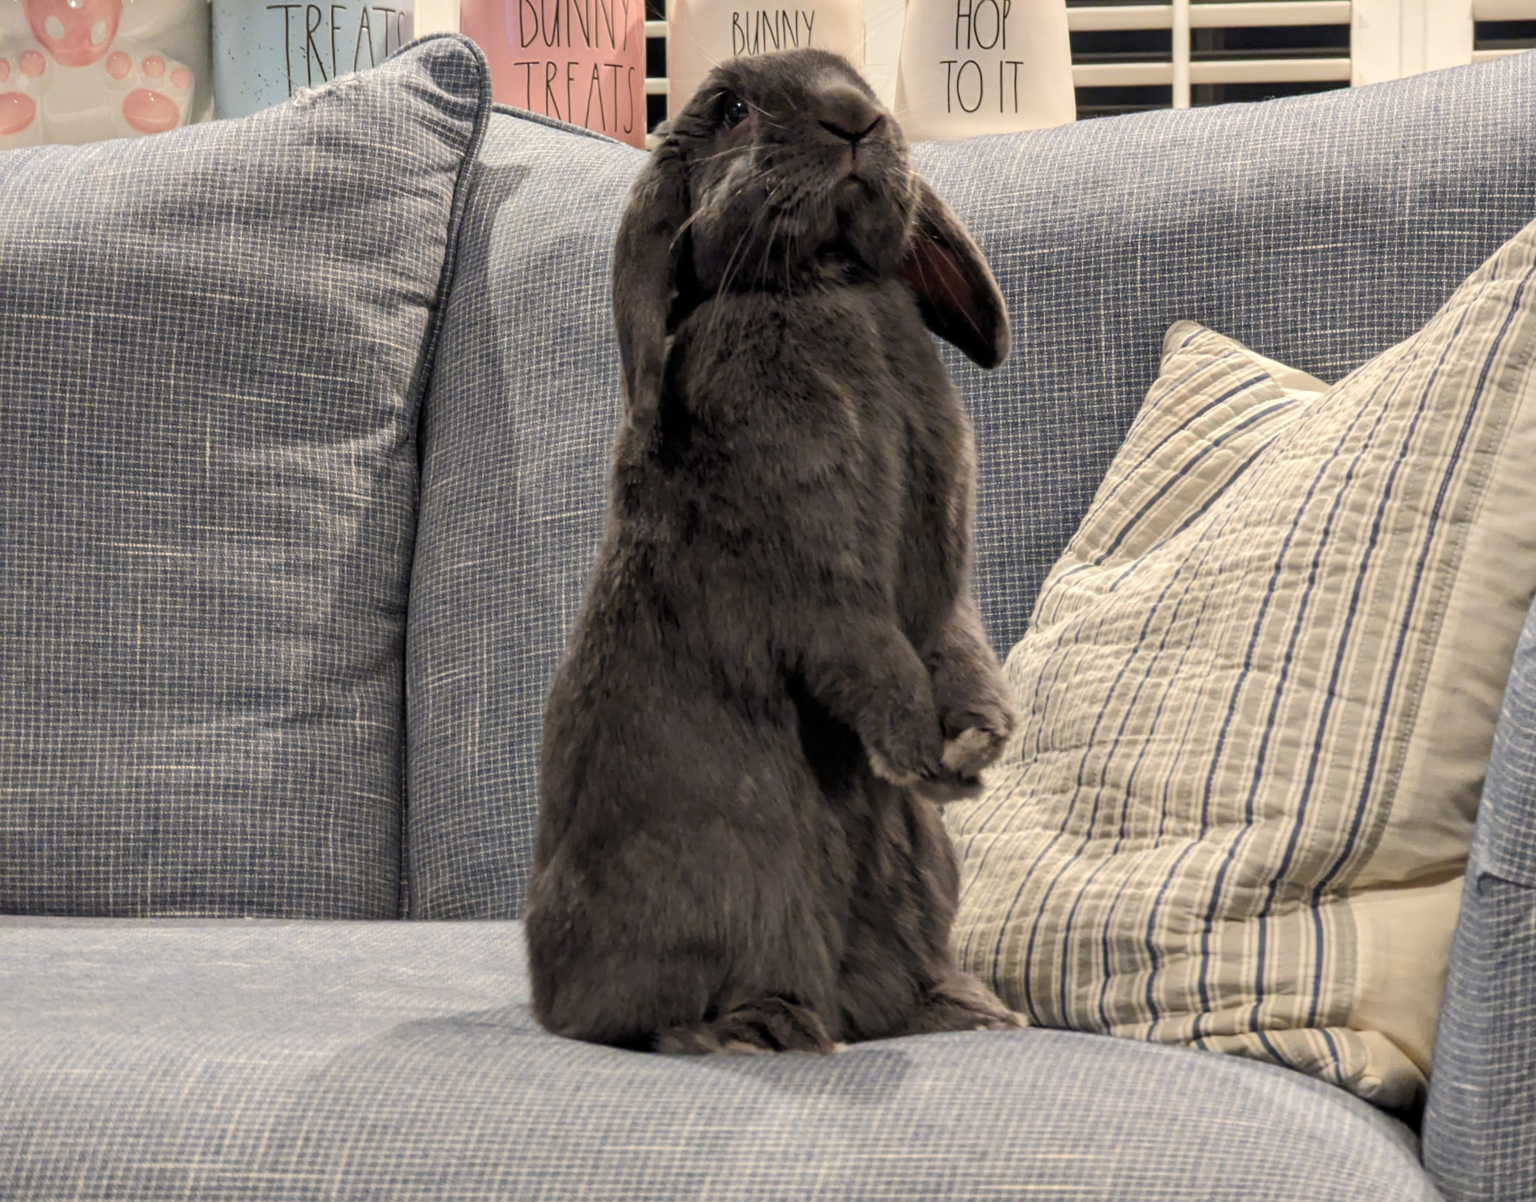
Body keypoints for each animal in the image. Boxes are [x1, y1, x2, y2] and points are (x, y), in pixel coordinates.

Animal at [525, 47, 1023, 1055]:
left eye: (859, 79)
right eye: (734, 110)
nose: (854, 120)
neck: (828, 280)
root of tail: (545, 991)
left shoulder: (944, 588)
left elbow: (958, 643)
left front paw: (977, 744)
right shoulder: (817, 578)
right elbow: (871, 655)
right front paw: (919, 754)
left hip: (922, 882)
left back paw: (967, 1008)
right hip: (723, 888)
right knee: (635, 1019)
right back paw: (758, 1029)